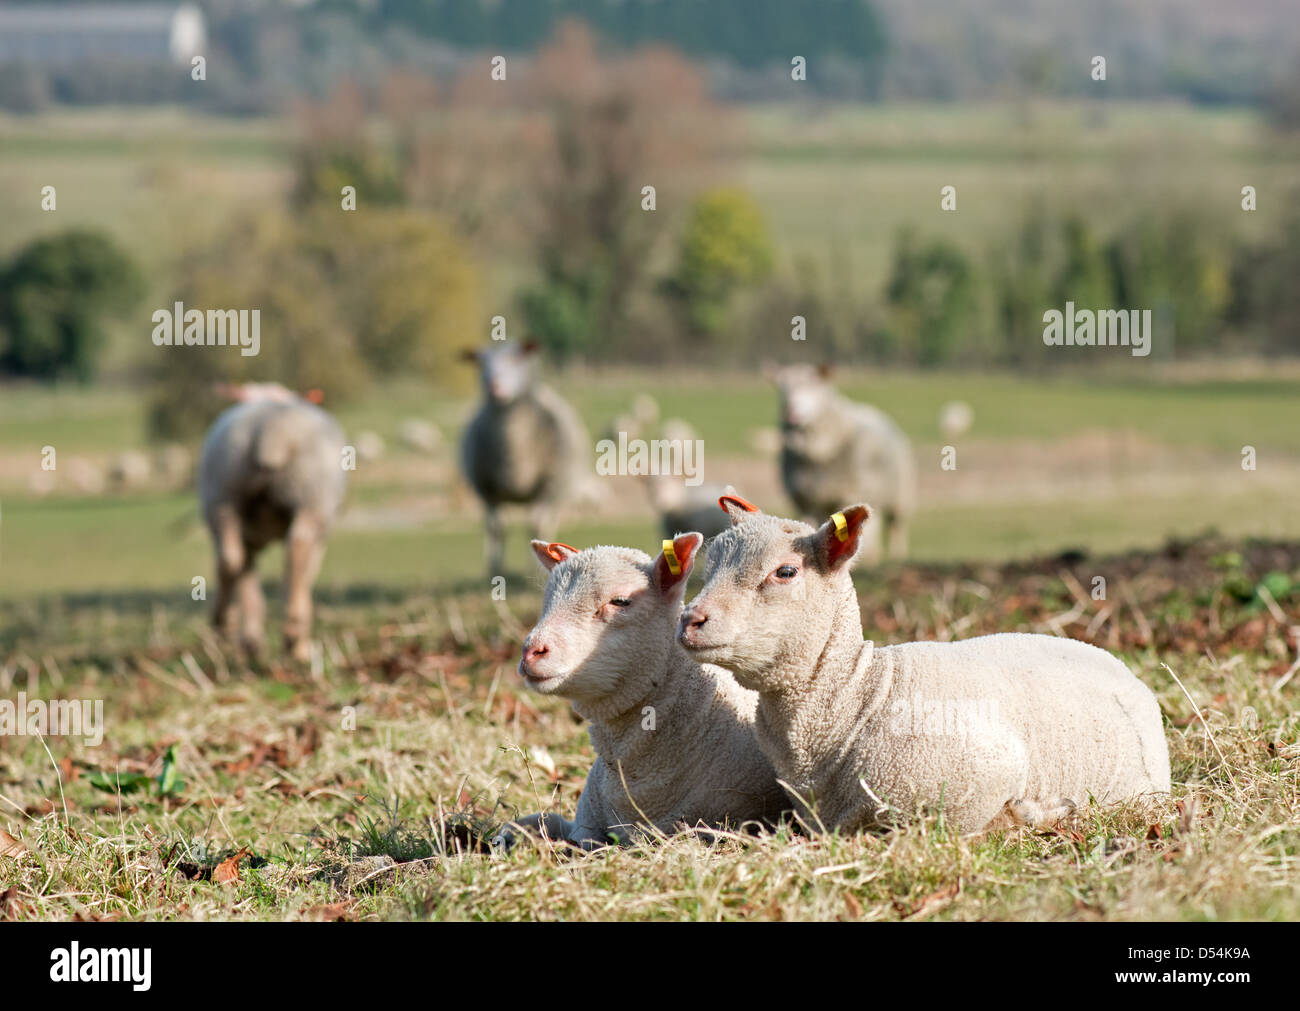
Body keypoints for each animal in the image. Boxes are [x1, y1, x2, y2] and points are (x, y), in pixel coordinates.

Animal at [197, 385, 347, 661]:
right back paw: (292, 636)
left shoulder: (249, 535)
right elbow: (305, 575)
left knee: (231, 559)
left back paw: (235, 631)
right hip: (310, 497)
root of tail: (271, 430)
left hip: (223, 498)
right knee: (295, 552)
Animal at [460, 341, 593, 576]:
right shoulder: (487, 490)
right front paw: (495, 570)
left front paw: (535, 571)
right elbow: (497, 528)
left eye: (516, 359)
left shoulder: (548, 486)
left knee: (547, 523)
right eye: (481, 362)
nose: (495, 386)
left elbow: (536, 526)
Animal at [677, 495, 1171, 834]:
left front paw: (1033, 813)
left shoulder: (989, 769)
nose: (689, 619)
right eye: (709, 564)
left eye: (785, 572)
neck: (858, 700)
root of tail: (1114, 660)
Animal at [767, 363, 915, 563]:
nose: (789, 410)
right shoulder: (805, 500)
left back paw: (894, 556)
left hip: (898, 495)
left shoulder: (849, 494)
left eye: (813, 385)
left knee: (895, 527)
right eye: (782, 388)